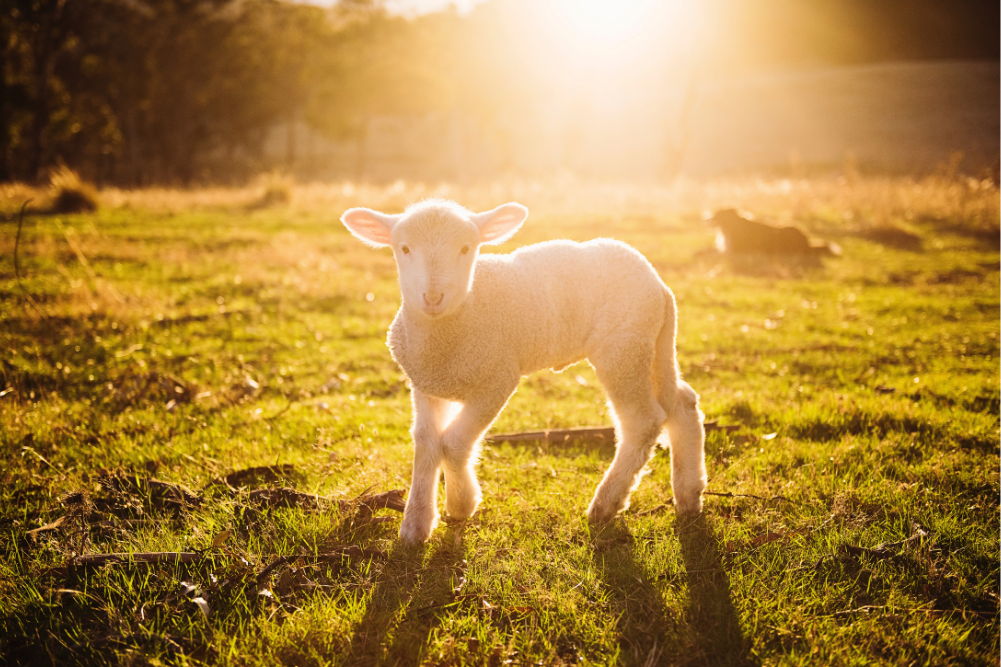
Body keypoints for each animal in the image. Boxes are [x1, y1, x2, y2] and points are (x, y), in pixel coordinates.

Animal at [340, 199, 707, 544]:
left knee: (642, 422)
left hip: (623, 349)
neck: (455, 323)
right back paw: (689, 495)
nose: (432, 297)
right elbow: (426, 441)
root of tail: (659, 285)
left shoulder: (497, 380)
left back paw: (606, 504)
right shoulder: (425, 384)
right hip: (654, 344)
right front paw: (416, 525)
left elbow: (454, 443)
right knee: (682, 403)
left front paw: (461, 504)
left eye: (466, 248)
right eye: (403, 248)